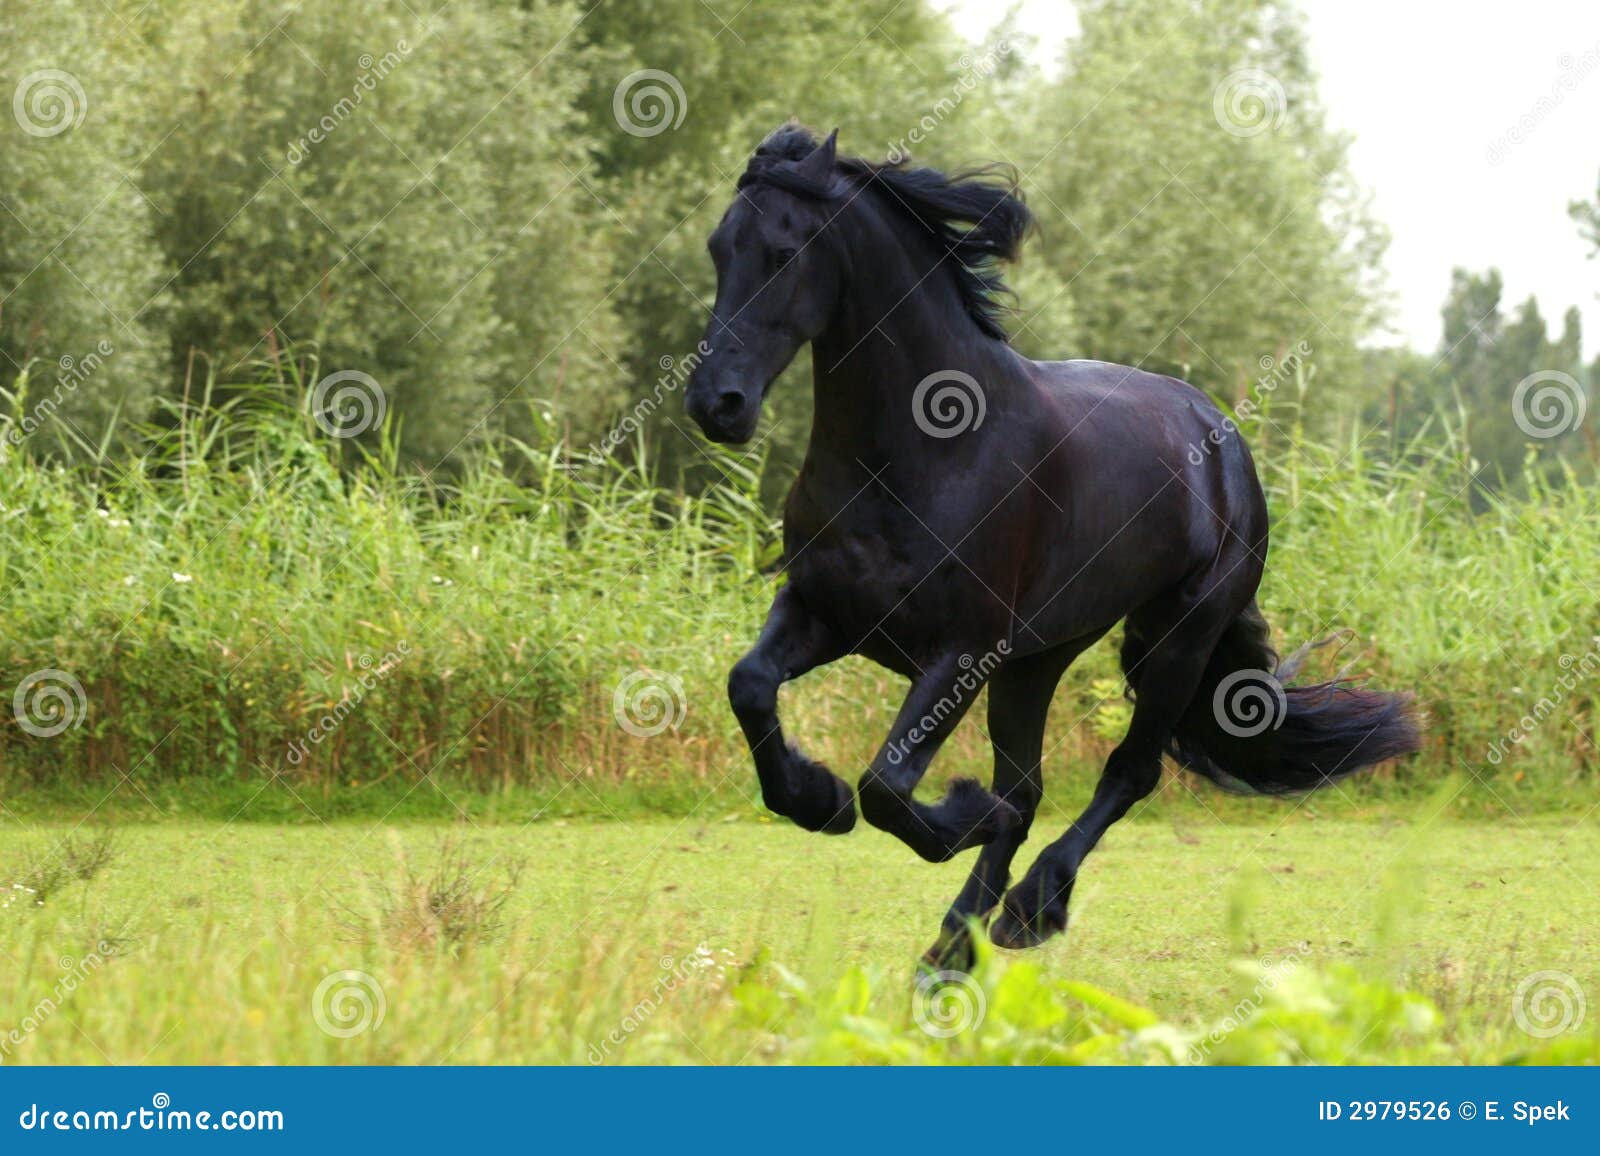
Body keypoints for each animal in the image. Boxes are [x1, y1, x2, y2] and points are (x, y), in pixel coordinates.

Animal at [683, 124, 1420, 969]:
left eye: (784, 251)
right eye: (719, 247)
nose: (717, 404)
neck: (926, 445)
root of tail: (1221, 437)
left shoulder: (960, 651)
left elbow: (890, 786)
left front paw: (954, 810)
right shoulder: (823, 610)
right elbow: (751, 687)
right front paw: (816, 799)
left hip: (1176, 640)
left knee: (1126, 772)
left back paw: (1029, 907)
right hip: (1036, 662)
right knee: (1028, 788)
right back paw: (952, 951)